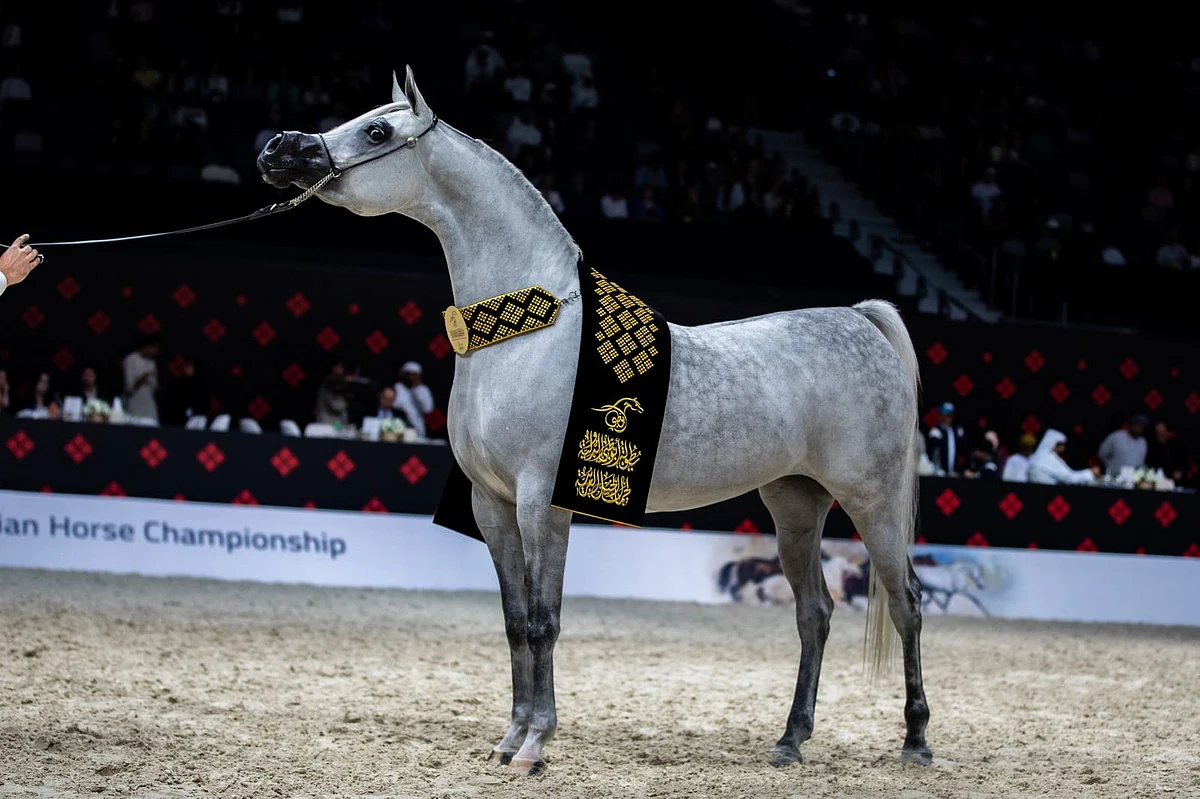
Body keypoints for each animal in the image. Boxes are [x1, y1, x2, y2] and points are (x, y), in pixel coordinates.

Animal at [256, 67, 932, 775]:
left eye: (378, 130)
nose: (279, 148)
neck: (529, 331)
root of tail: (860, 320)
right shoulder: (492, 506)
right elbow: (514, 620)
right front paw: (509, 739)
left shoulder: (541, 503)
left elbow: (544, 619)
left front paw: (535, 744)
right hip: (795, 503)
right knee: (814, 612)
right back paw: (790, 740)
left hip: (872, 500)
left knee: (907, 603)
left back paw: (915, 742)